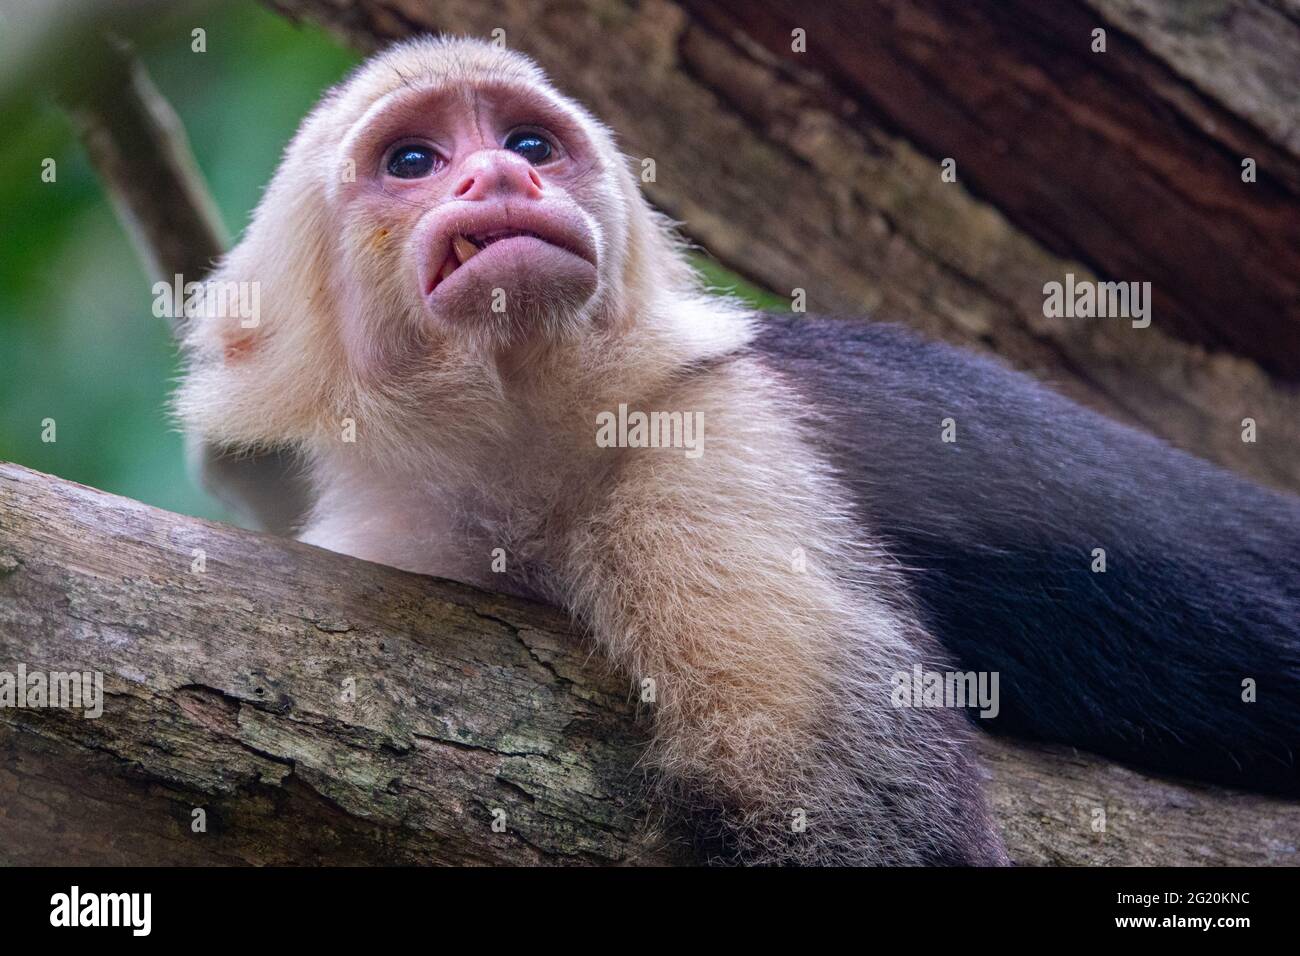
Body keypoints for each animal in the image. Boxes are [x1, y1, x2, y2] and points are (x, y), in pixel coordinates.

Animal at [174, 36, 1299, 864]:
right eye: (413, 161)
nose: (500, 172)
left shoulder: (706, 441)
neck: (519, 464)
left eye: (531, 142)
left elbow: (863, 829)